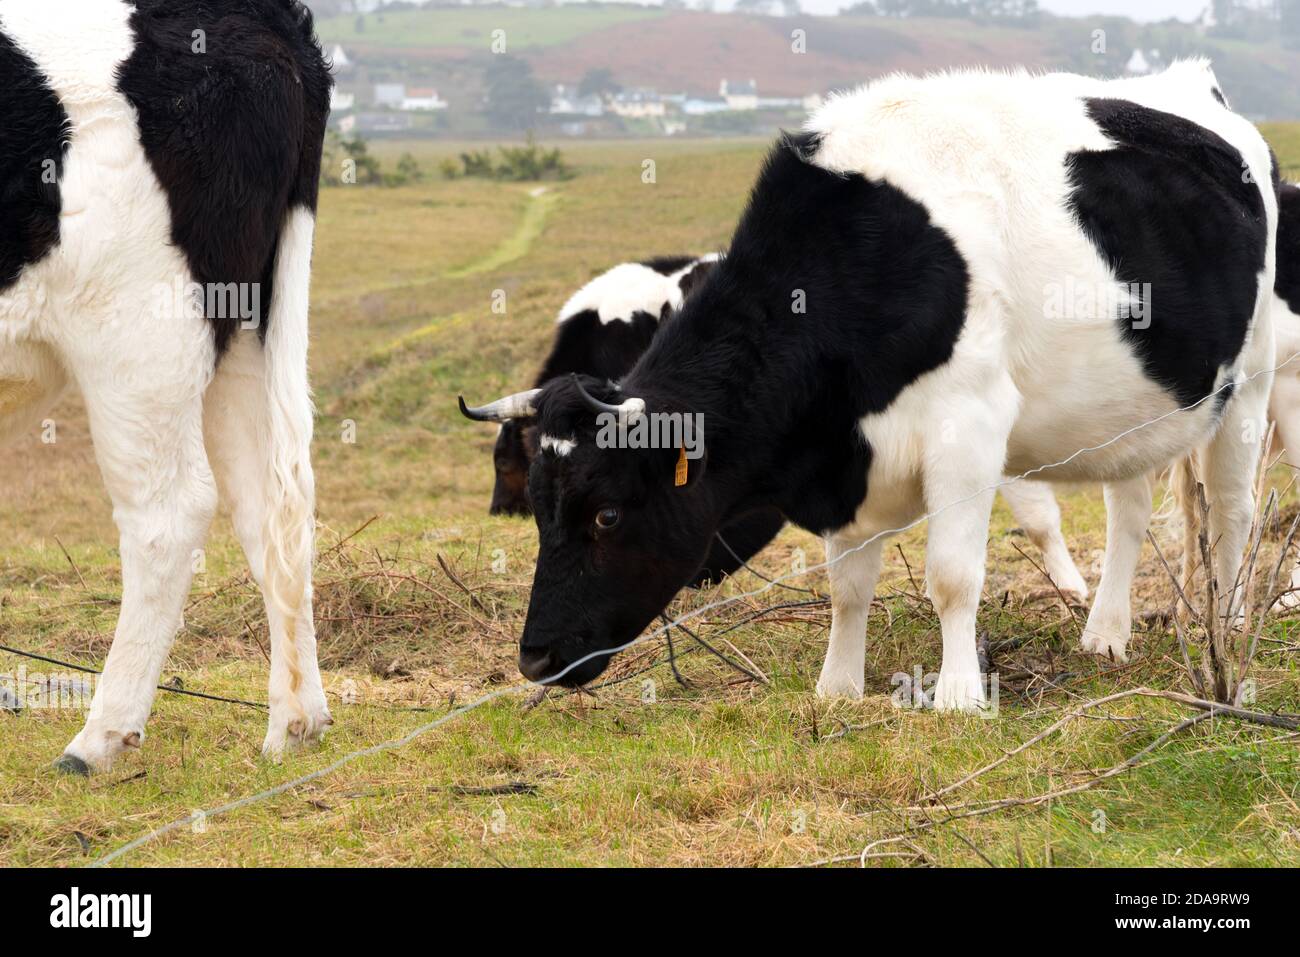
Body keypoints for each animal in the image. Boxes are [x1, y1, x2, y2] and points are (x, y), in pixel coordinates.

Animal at [0, 0, 332, 772]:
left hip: (137, 339)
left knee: (171, 512)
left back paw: (98, 738)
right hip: (242, 331)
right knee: (271, 504)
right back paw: (296, 720)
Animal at [461, 62, 1277, 709]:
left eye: (606, 514)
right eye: (538, 508)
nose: (534, 657)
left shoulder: (969, 425)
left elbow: (952, 576)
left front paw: (957, 698)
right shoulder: (846, 453)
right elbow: (847, 586)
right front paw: (838, 687)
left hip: (1254, 380)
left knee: (1233, 512)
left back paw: (1228, 627)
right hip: (1133, 410)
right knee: (1128, 512)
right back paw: (1105, 635)